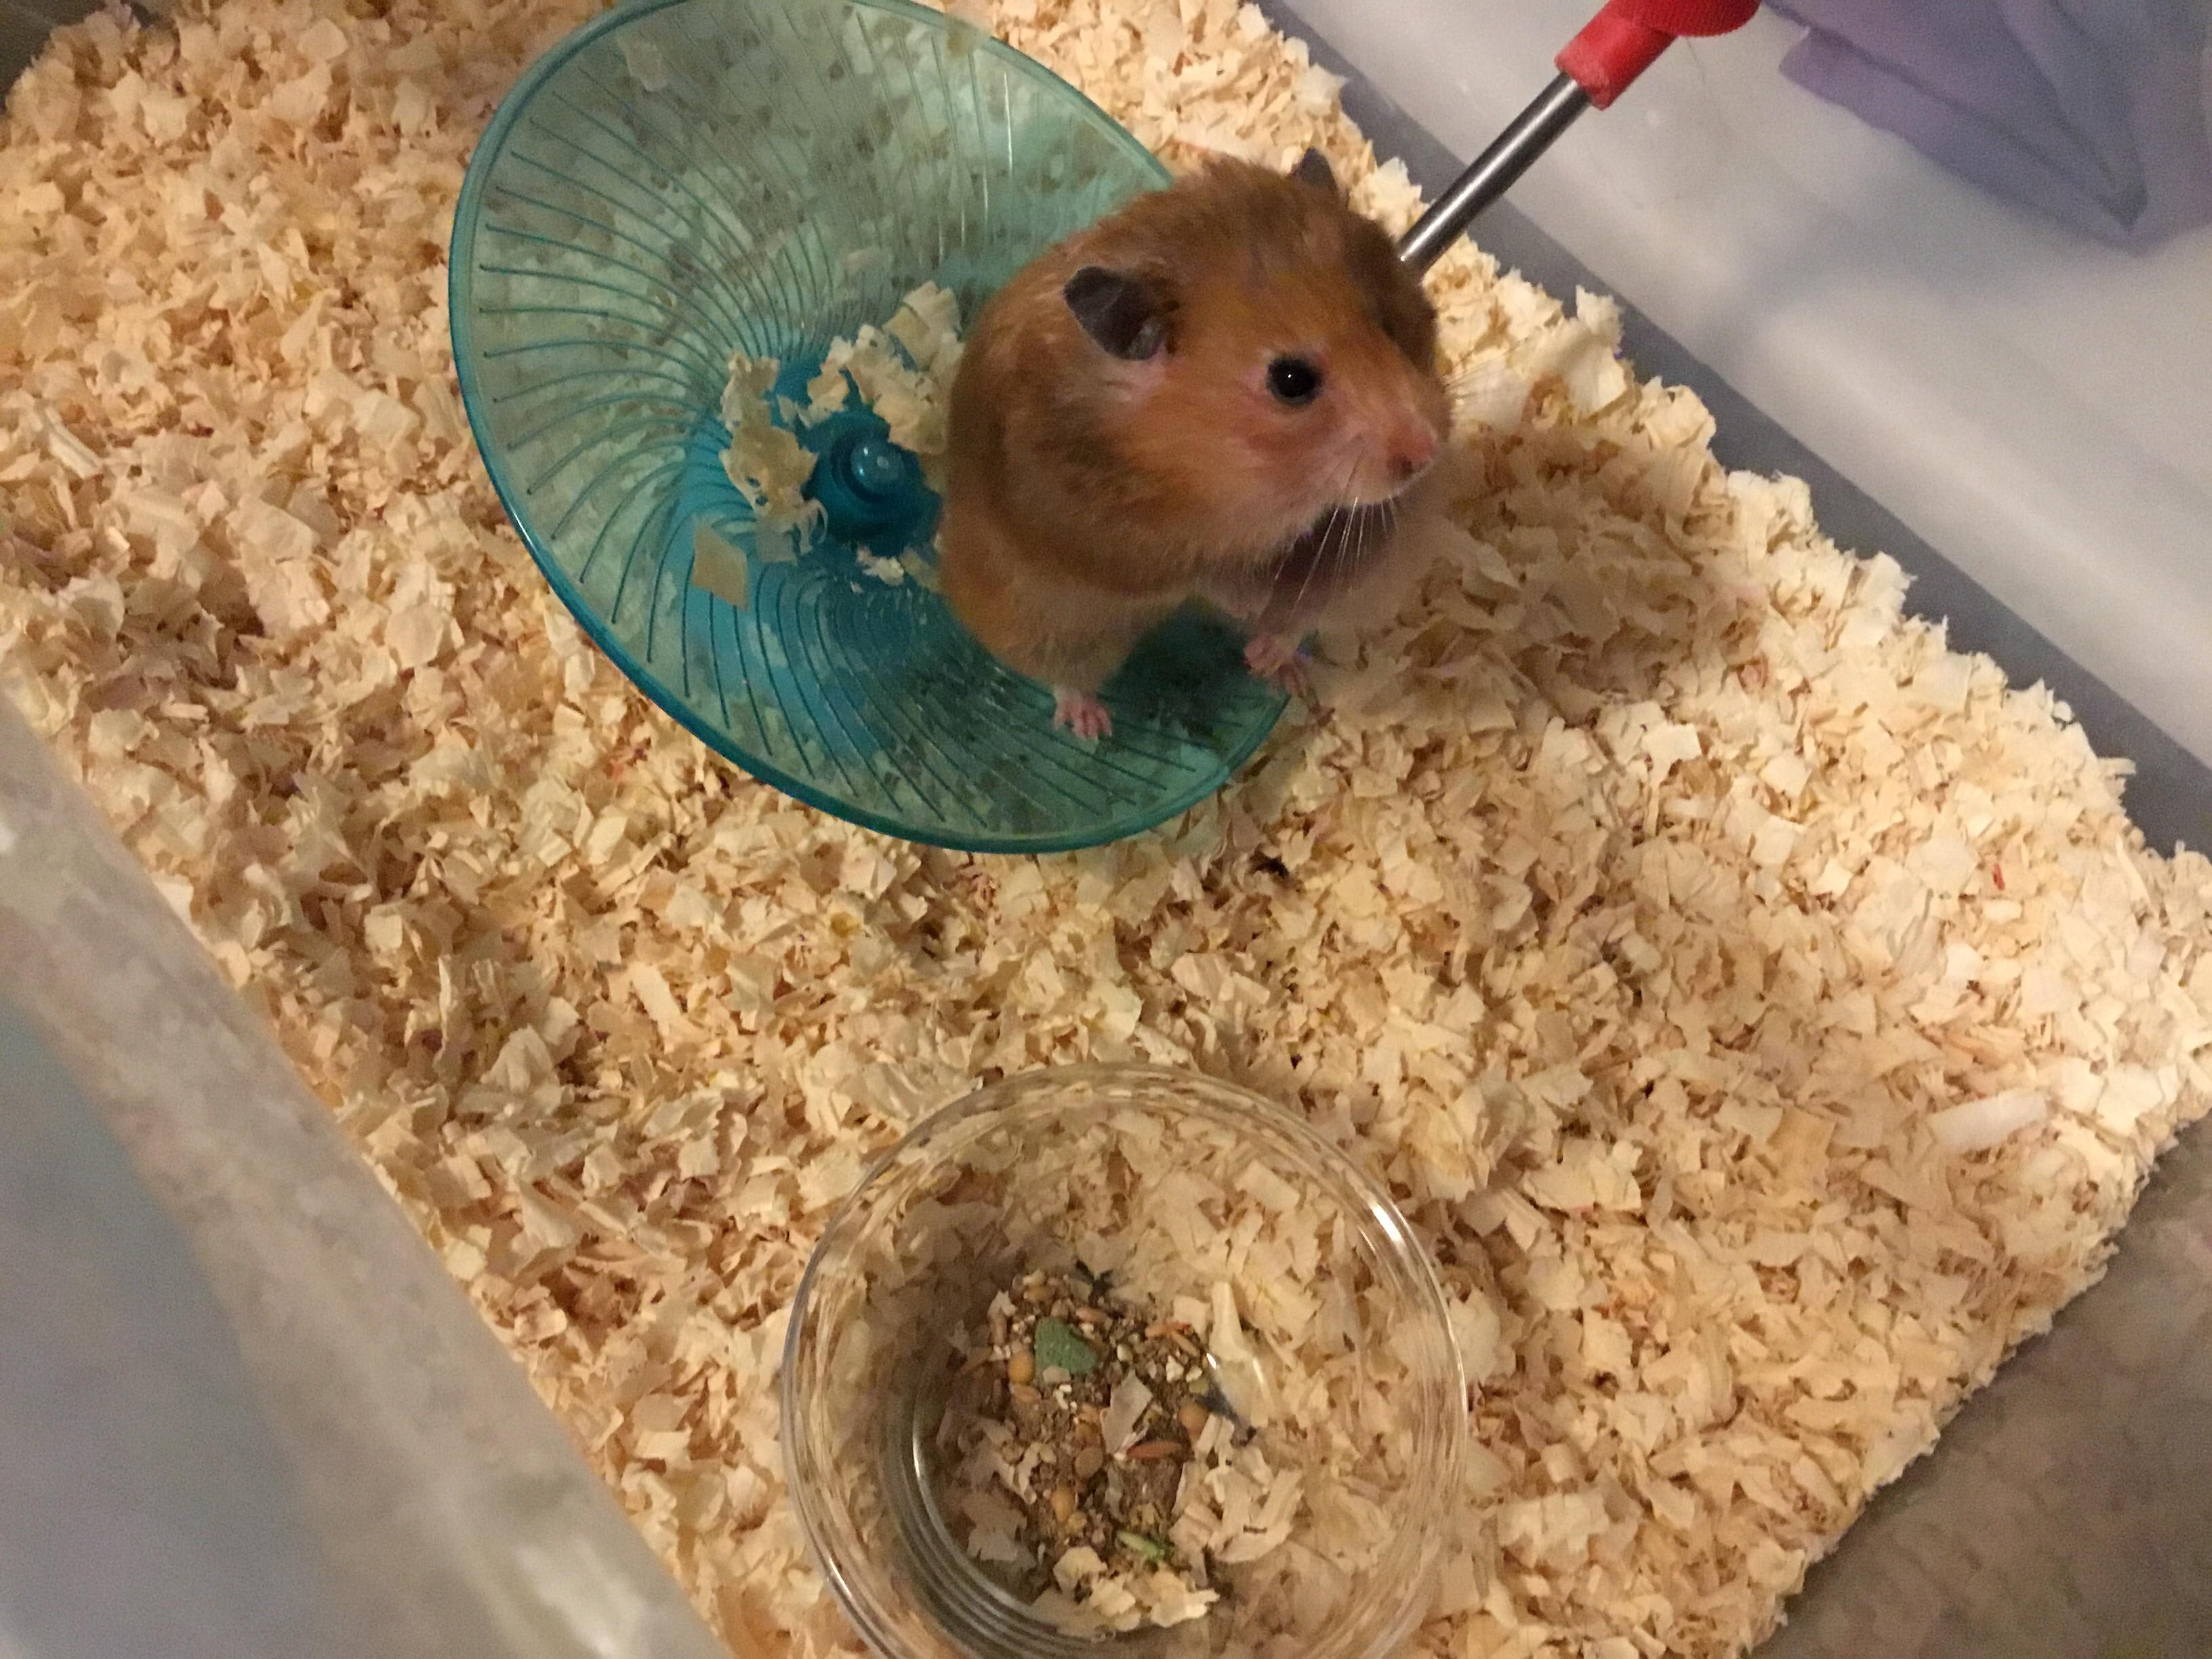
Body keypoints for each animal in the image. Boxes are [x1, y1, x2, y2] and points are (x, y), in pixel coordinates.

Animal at [938, 148, 1451, 739]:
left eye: (1388, 324)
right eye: (1291, 380)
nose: (1427, 454)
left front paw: (1264, 631)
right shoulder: (1108, 543)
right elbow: (1205, 578)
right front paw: (1251, 599)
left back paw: (1276, 668)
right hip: (1035, 621)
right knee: (1065, 671)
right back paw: (1092, 727)